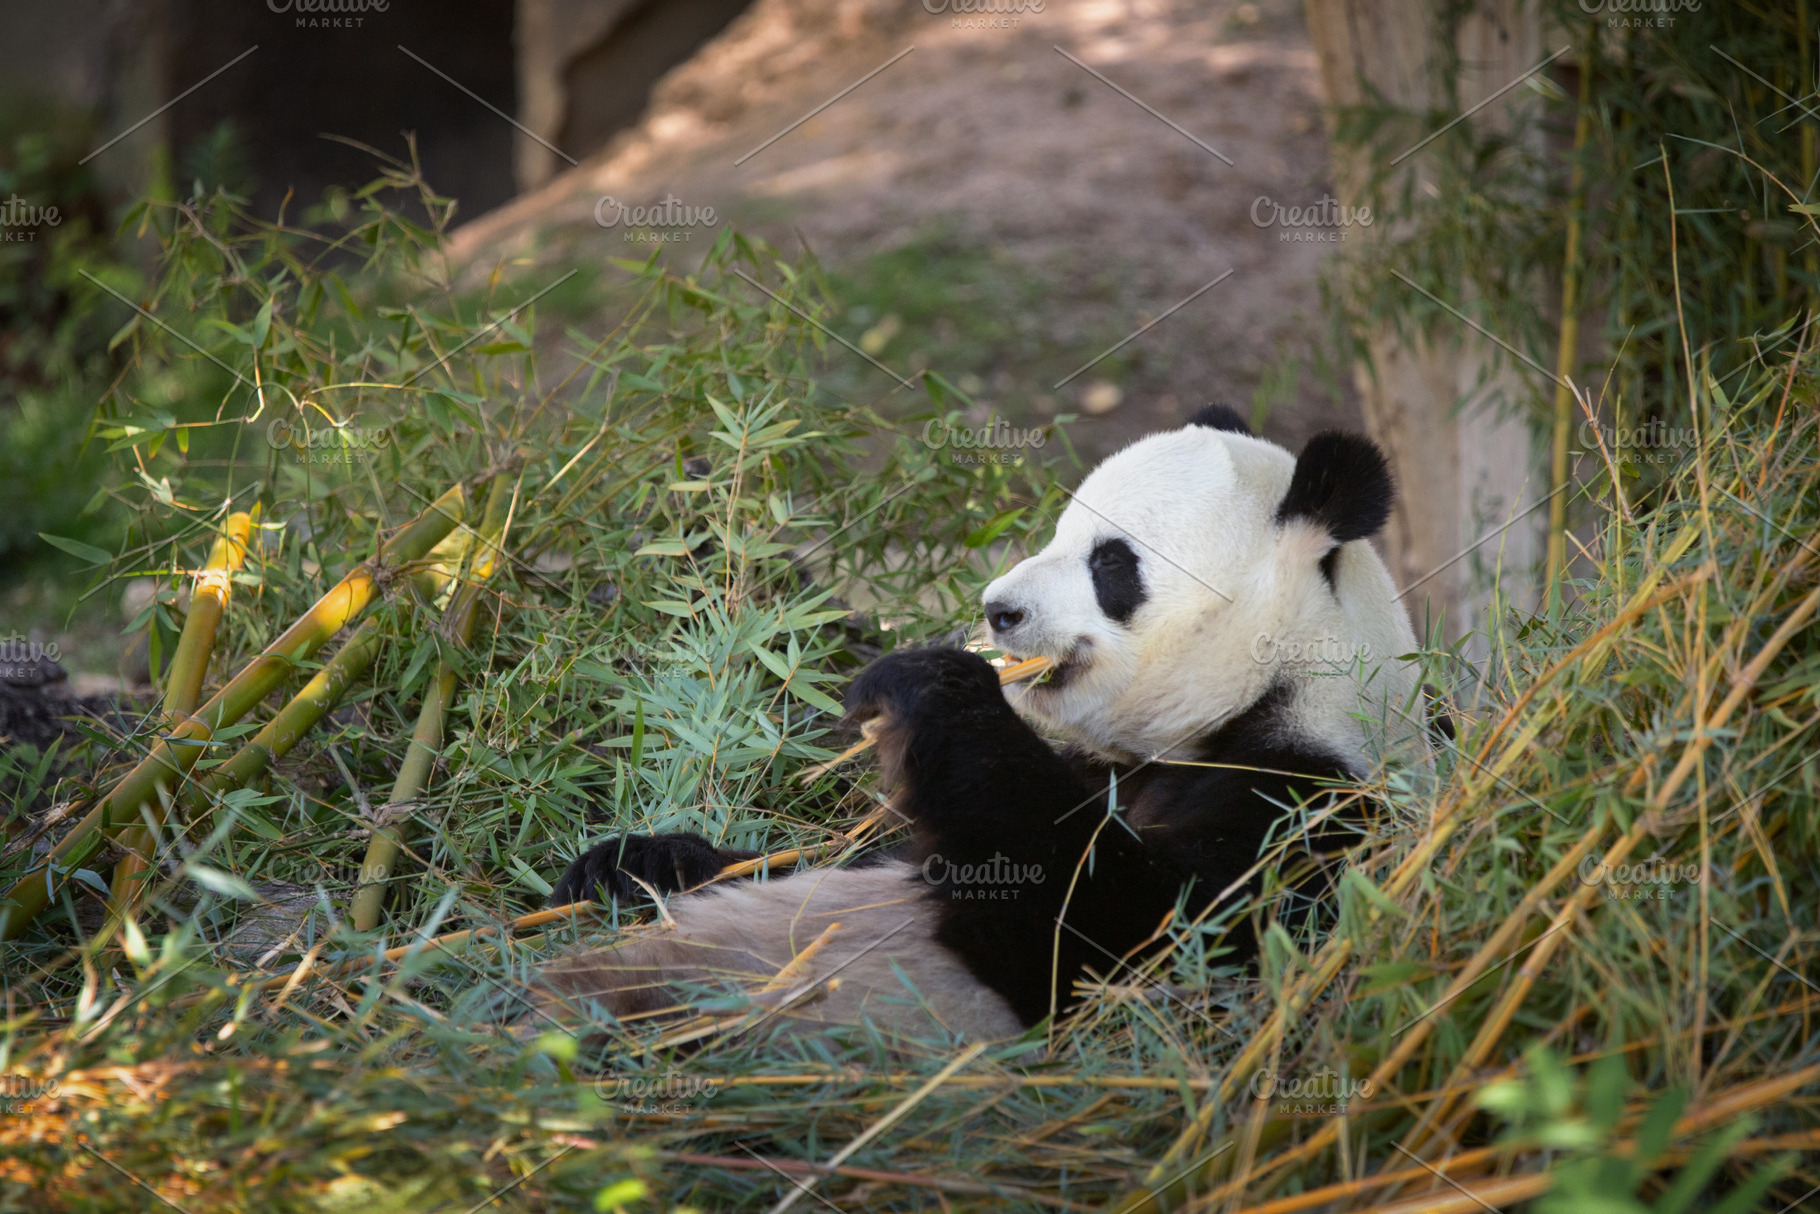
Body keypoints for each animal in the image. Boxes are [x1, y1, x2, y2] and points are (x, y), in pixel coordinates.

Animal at [534, 405, 1421, 1041]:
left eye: (1111, 563)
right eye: (1059, 531)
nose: (999, 611)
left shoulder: (1311, 808)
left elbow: (1127, 935)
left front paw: (925, 681)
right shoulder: (1101, 773)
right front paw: (635, 862)